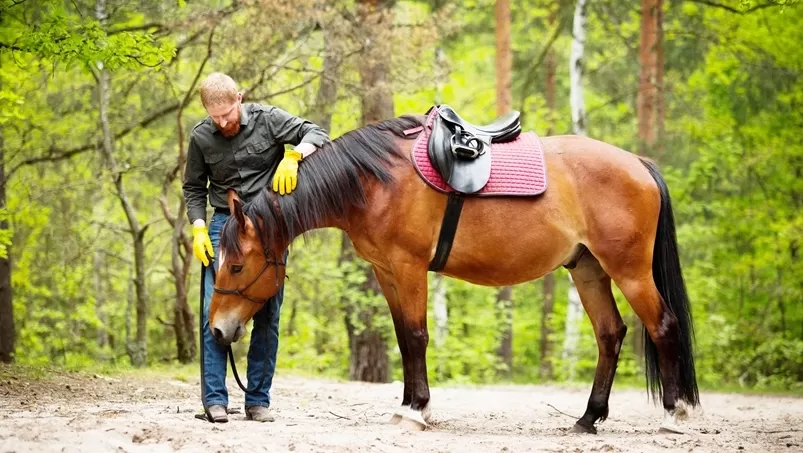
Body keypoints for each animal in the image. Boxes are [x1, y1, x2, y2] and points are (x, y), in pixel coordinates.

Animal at [206, 111, 696, 432]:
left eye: (236, 264)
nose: (216, 331)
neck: (374, 181)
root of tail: (639, 164)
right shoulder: (387, 272)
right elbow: (405, 339)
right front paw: (409, 404)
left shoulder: (408, 267)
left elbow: (417, 336)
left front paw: (416, 410)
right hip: (589, 269)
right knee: (610, 335)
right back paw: (588, 418)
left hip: (630, 271)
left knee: (663, 326)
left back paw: (675, 416)